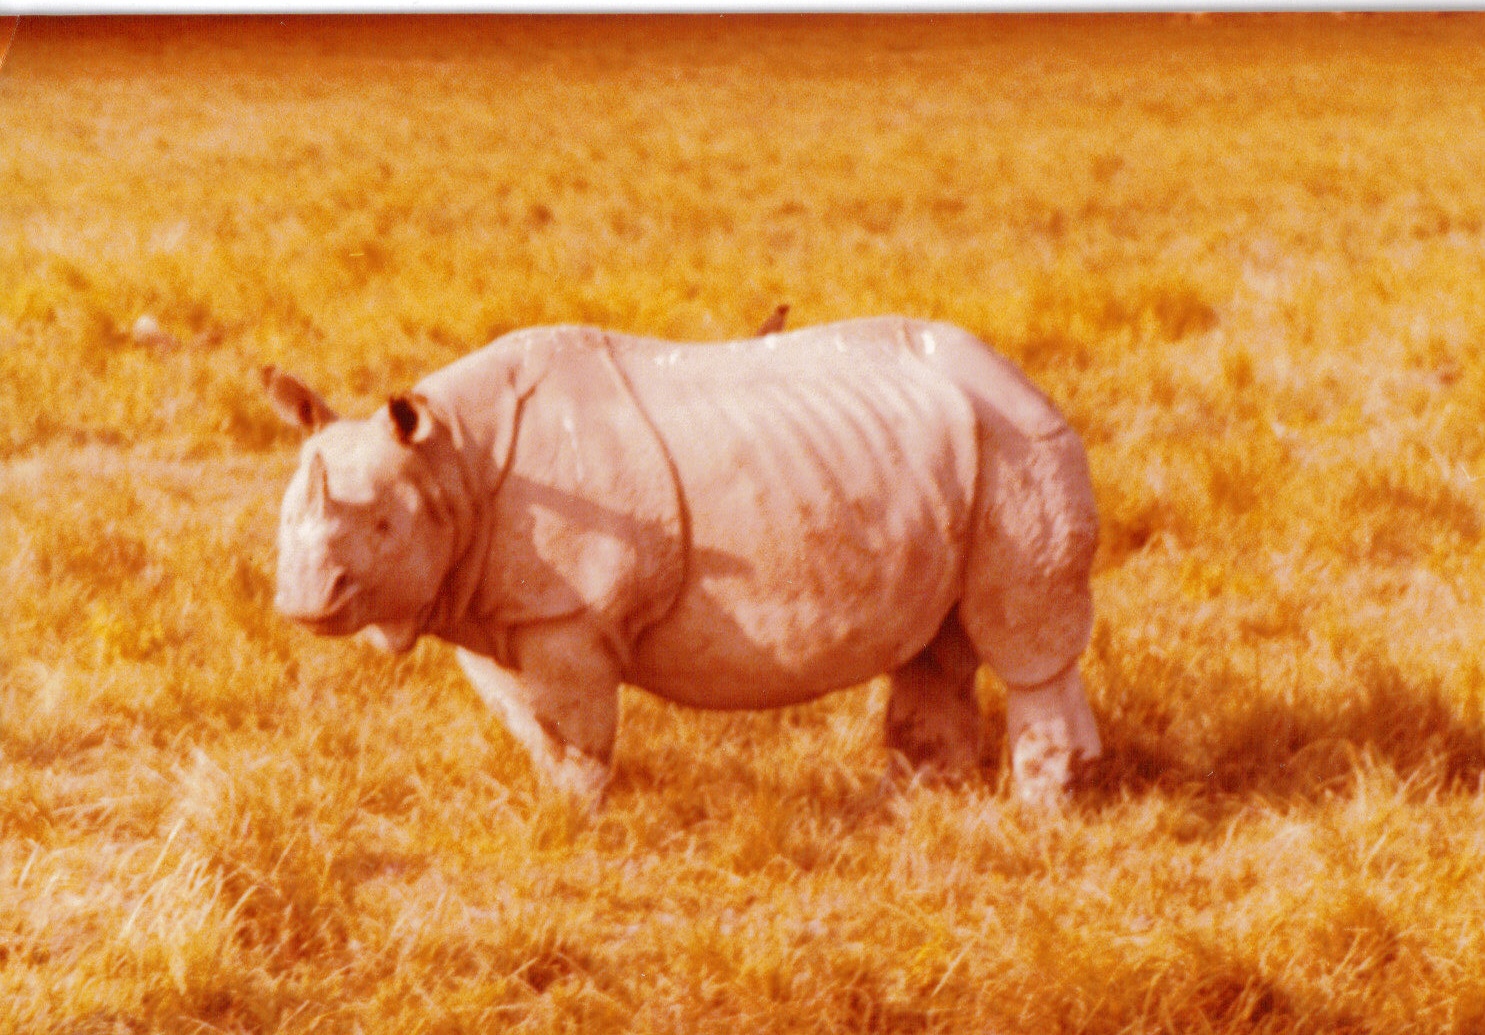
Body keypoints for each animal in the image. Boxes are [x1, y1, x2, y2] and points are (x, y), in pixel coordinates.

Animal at [264, 316, 1102, 807]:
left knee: (1024, 641)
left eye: (381, 525)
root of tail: (1022, 376)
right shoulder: (490, 600)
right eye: (284, 521)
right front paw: (550, 808)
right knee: (935, 642)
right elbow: (528, 722)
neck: (448, 462)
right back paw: (913, 804)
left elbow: (572, 726)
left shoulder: (570, 613)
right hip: (956, 453)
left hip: (1018, 444)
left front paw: (578, 821)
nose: (303, 601)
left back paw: (1039, 815)